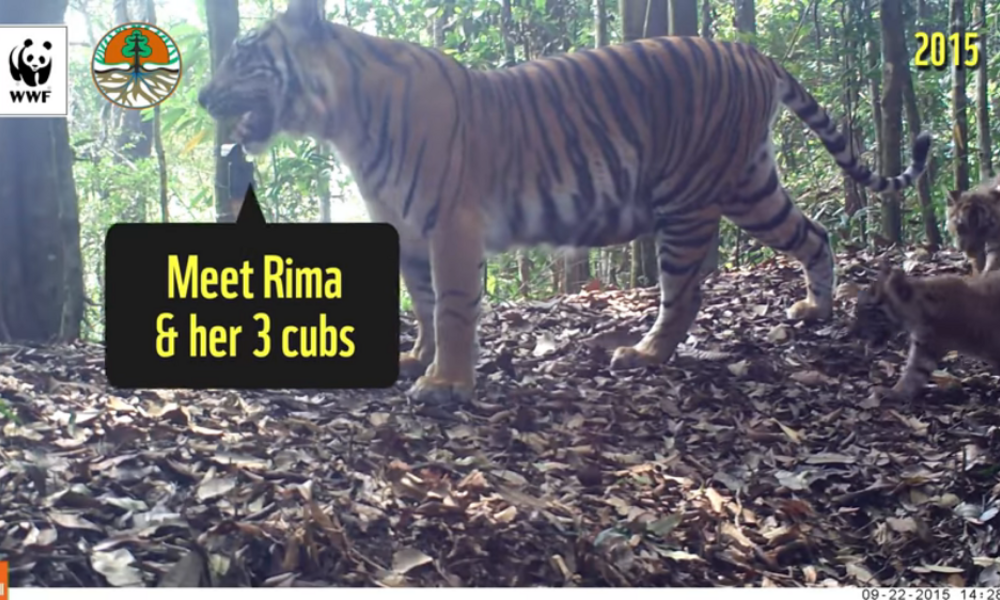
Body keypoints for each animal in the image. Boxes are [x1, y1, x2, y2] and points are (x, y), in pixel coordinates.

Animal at [197, 0, 932, 404]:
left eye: (244, 54)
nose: (202, 96)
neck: (340, 119)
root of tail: (753, 53)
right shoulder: (406, 231)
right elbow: (425, 307)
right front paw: (417, 361)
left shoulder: (451, 224)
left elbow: (454, 308)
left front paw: (446, 385)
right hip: (752, 186)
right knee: (814, 234)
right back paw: (816, 309)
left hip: (690, 199)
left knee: (684, 292)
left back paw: (645, 354)